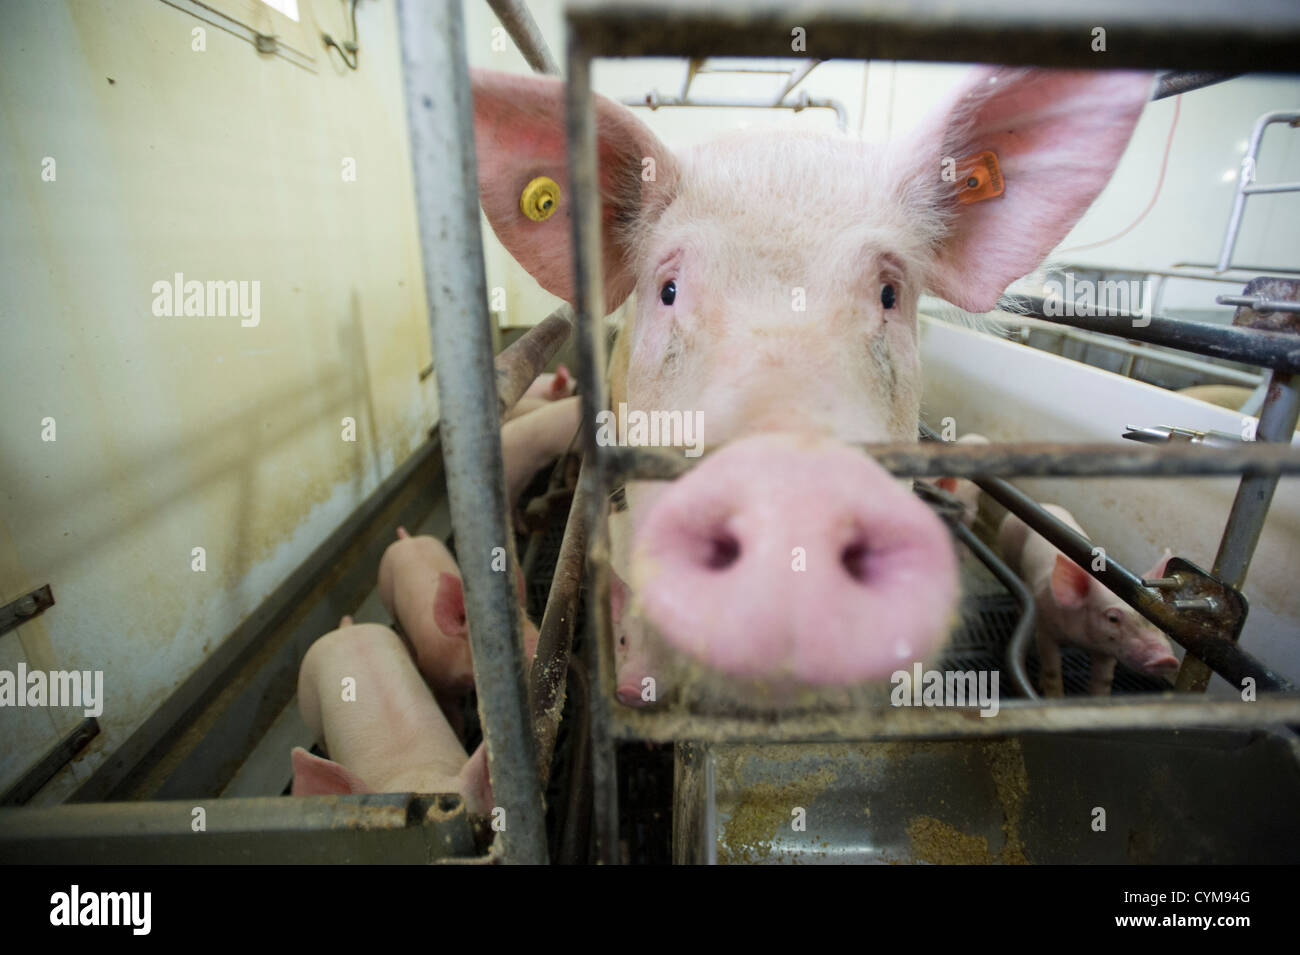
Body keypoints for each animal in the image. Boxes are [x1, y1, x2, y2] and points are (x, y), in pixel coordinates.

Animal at [997, 504, 1180, 696]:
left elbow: (1103, 680)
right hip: (1008, 553)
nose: (1166, 659)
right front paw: (1052, 696)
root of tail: (1044, 505)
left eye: (1157, 622)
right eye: (1112, 618)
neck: (1080, 641)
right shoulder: (1045, 628)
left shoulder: (1107, 650)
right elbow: (1052, 670)